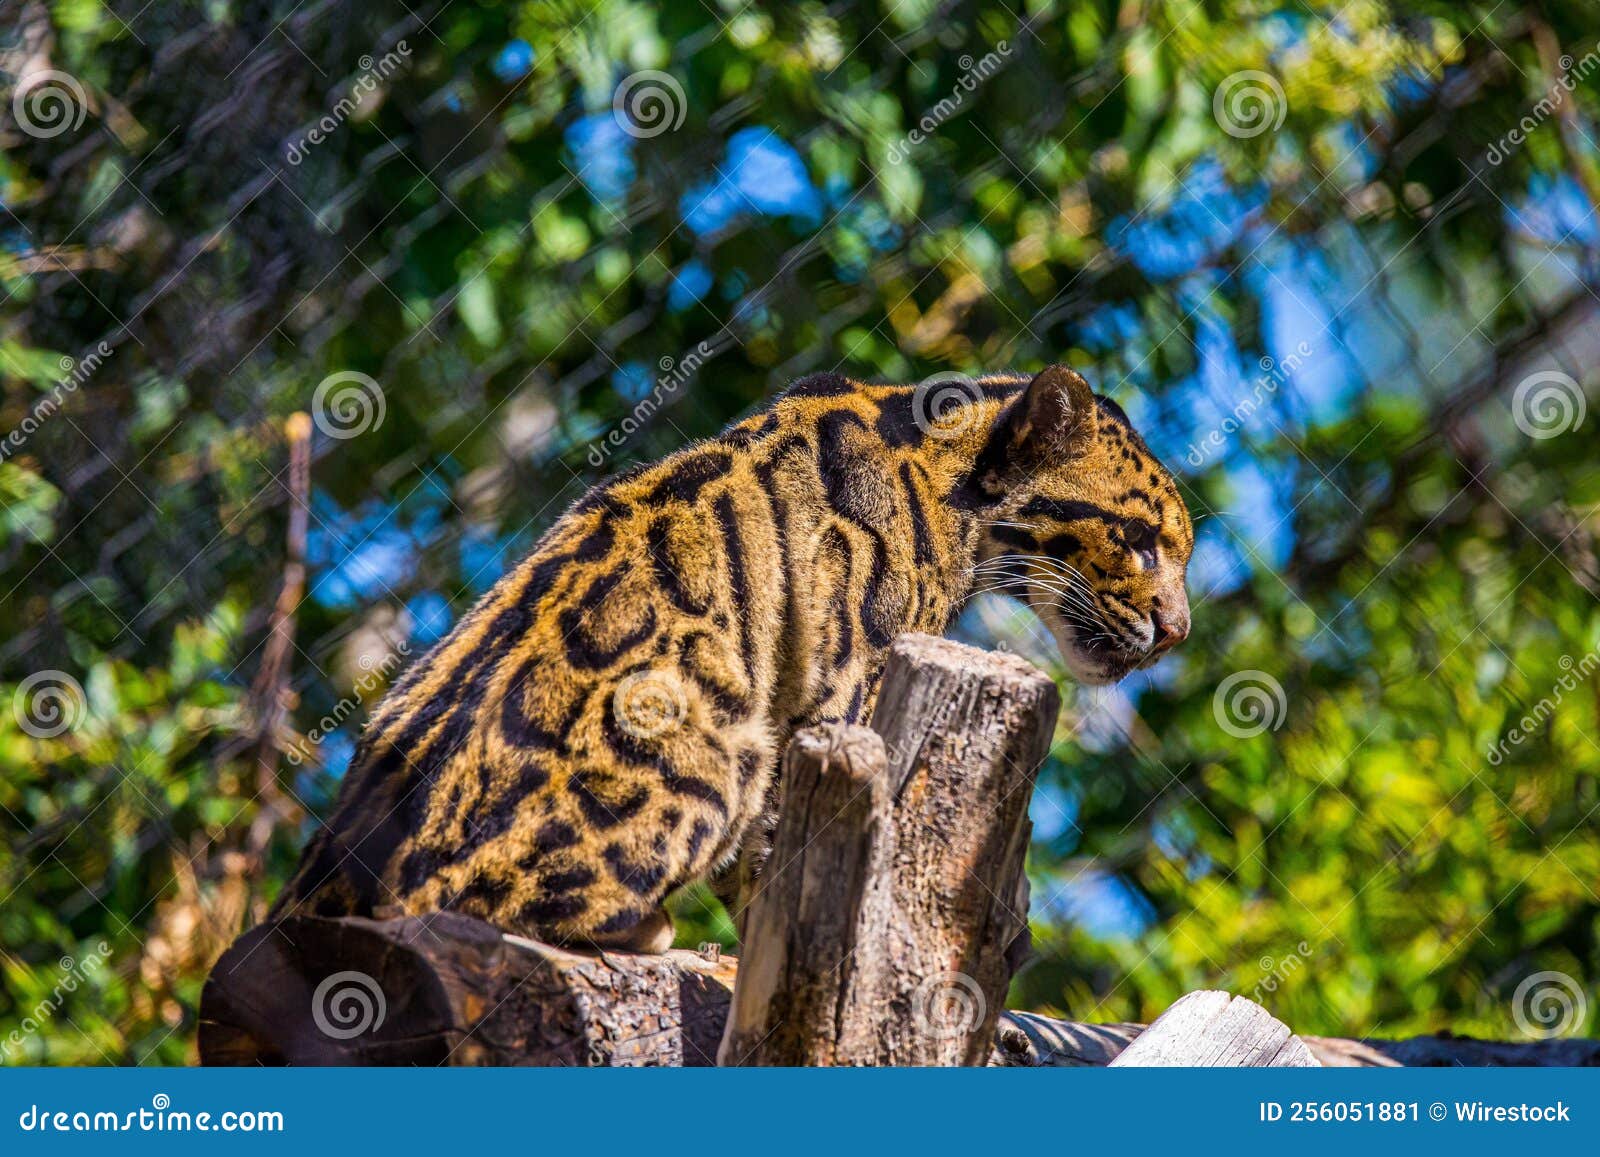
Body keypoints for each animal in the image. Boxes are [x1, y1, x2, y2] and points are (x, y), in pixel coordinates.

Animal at [271, 365, 1194, 952]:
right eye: (1140, 541)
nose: (1178, 630)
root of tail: (326, 884)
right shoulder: (837, 696)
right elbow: (780, 869)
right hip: (716, 747)